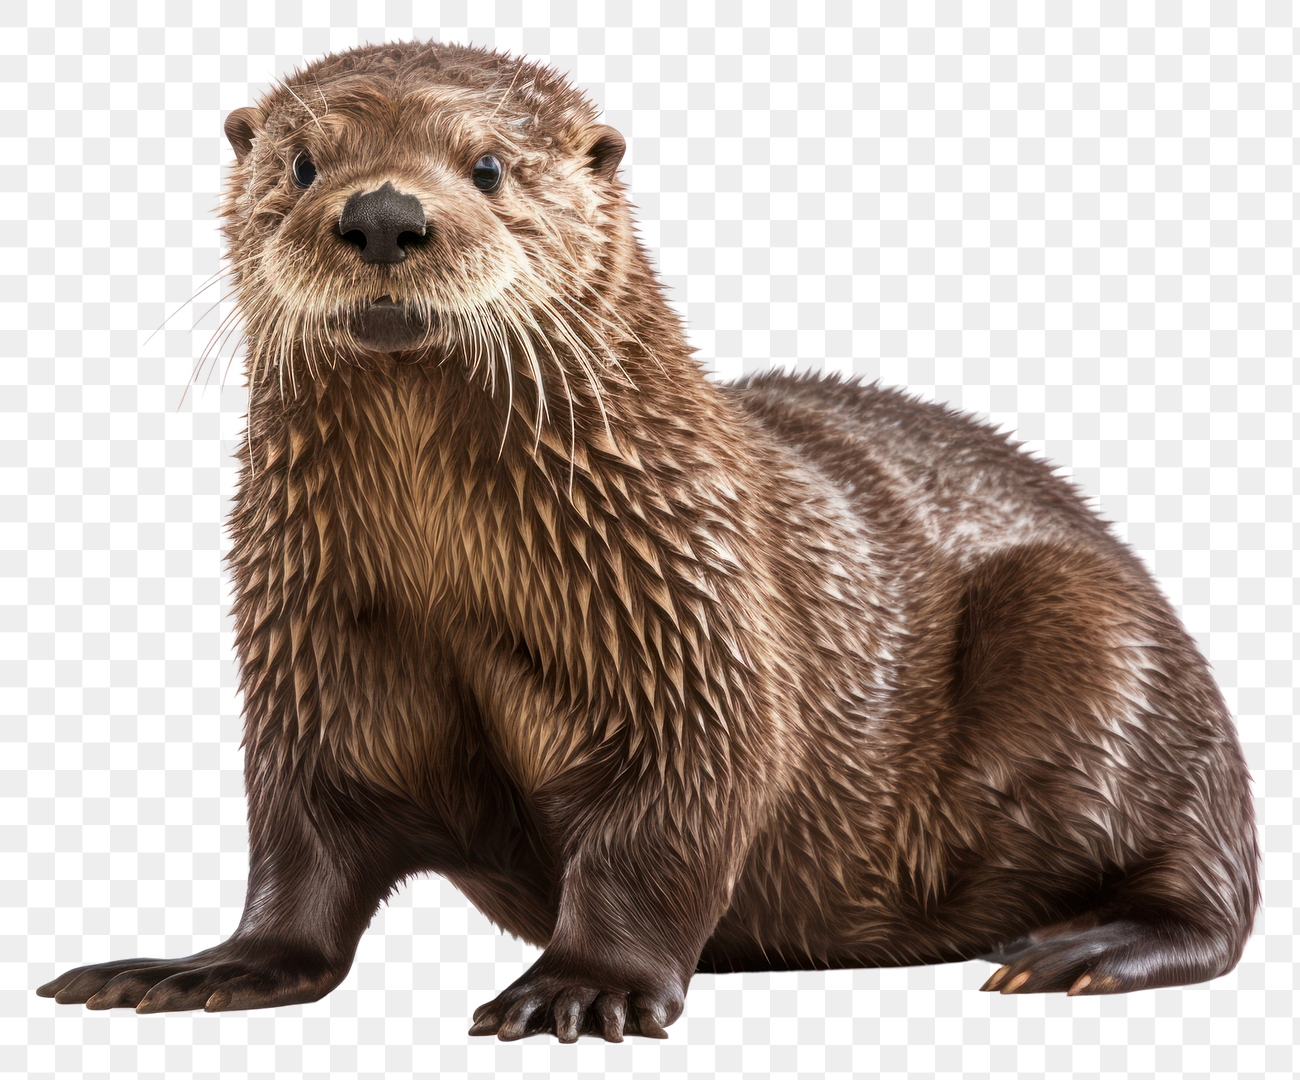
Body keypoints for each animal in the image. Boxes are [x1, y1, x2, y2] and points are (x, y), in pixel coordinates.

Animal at [37, 41, 1258, 1042]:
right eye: (300, 163)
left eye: (488, 166)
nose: (382, 213)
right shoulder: (309, 640)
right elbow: (303, 835)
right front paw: (207, 968)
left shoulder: (696, 614)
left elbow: (678, 805)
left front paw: (581, 985)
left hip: (1100, 642)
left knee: (1215, 888)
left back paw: (1078, 948)